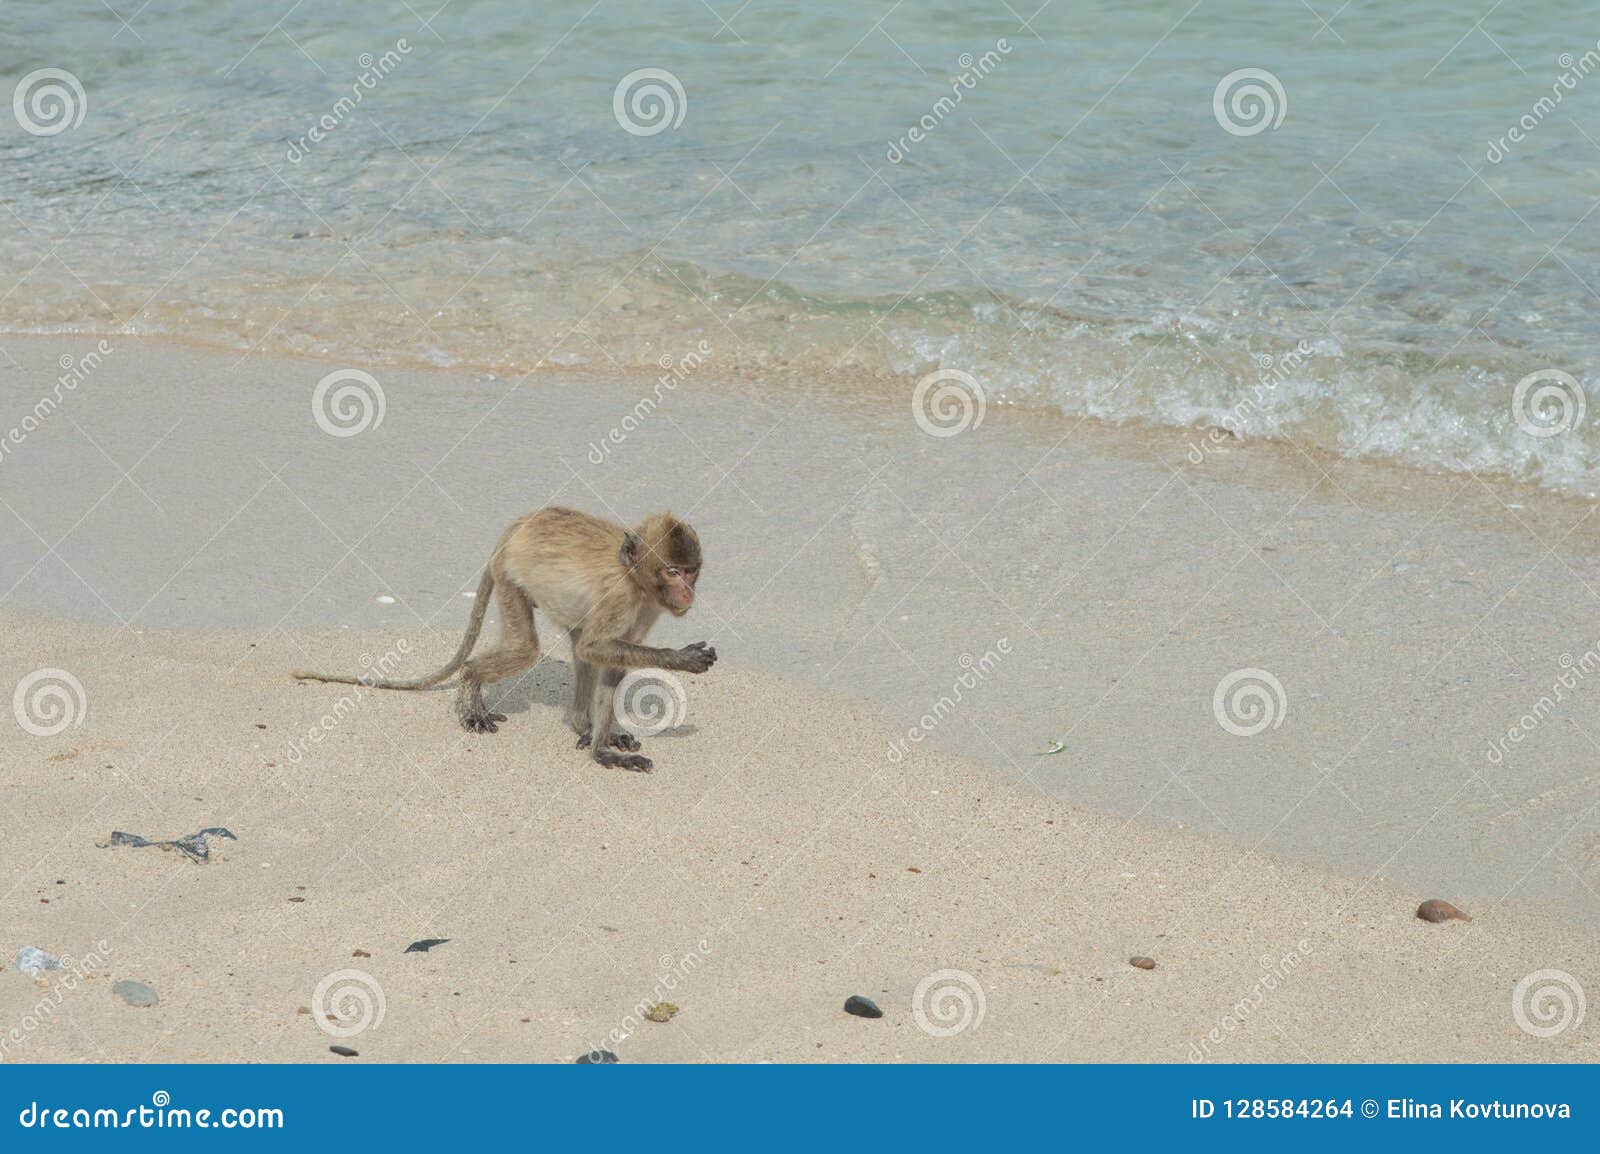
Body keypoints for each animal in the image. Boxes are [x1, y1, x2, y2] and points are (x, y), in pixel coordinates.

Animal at [292, 508, 714, 771]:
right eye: (672, 572)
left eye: (691, 572)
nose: (687, 593)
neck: (634, 578)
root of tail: (518, 527)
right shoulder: (621, 598)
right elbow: (595, 647)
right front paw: (680, 660)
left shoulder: (645, 608)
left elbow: (606, 661)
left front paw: (602, 741)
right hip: (510, 575)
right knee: (529, 649)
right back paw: (471, 682)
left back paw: (583, 725)